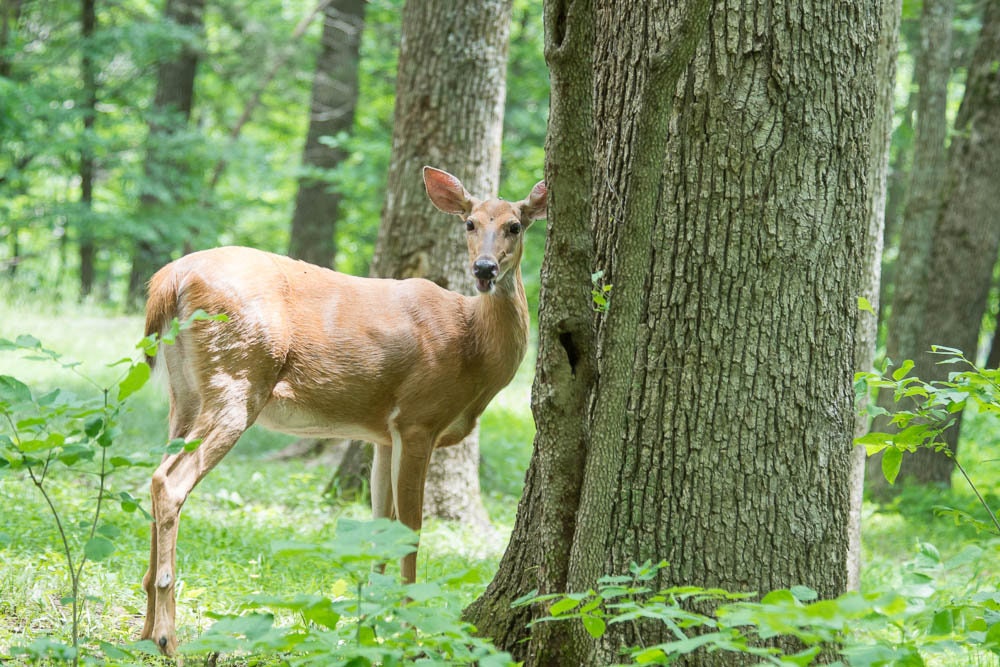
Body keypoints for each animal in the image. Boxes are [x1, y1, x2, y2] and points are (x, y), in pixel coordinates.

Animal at [137, 166, 546, 654]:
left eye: (514, 225)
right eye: (470, 223)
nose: (484, 268)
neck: (473, 345)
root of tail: (169, 279)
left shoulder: (384, 434)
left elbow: (381, 526)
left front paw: (370, 629)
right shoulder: (418, 419)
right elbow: (410, 530)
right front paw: (409, 633)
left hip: (184, 395)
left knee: (152, 477)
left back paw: (144, 632)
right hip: (237, 381)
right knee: (169, 482)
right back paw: (168, 637)